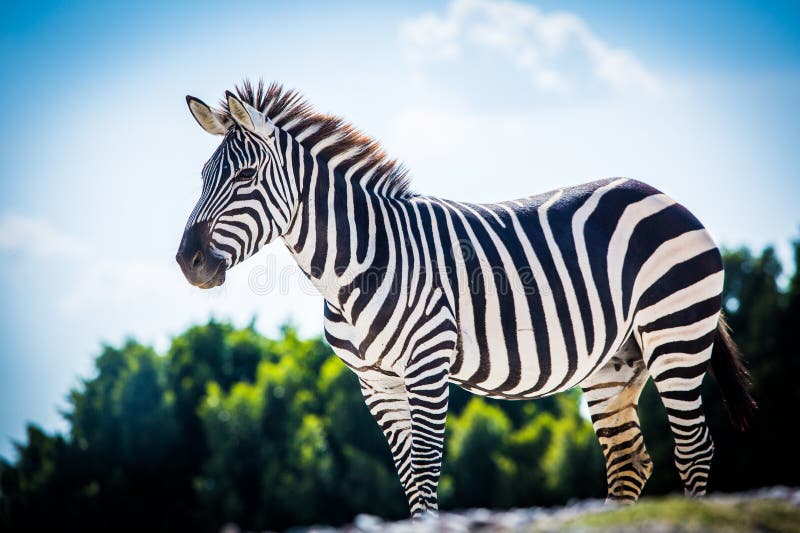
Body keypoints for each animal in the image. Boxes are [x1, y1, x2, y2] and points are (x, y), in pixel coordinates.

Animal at [176, 81, 756, 516]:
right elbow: (410, 479)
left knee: (693, 447)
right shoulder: (376, 384)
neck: (354, 266)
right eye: (202, 177)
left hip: (675, 332)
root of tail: (663, 195)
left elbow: (428, 473)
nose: (187, 261)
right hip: (614, 361)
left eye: (245, 176)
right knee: (630, 461)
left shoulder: (428, 363)